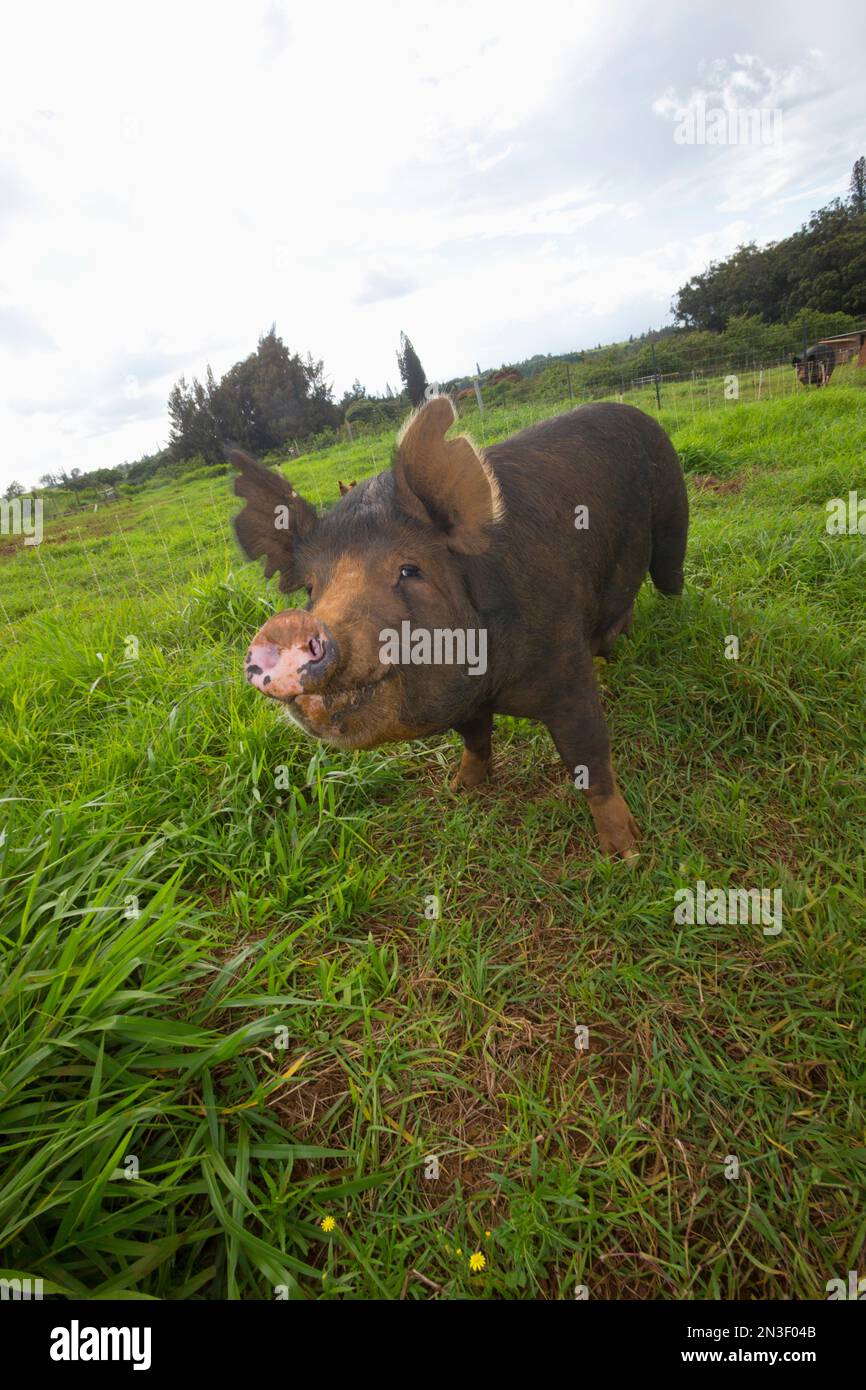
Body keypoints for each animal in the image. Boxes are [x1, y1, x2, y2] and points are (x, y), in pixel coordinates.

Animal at [232, 396, 688, 857]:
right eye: (311, 588)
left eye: (410, 570)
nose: (290, 627)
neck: (494, 687)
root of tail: (633, 410)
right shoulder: (466, 703)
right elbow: (474, 740)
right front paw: (459, 789)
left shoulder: (568, 673)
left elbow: (588, 757)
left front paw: (626, 852)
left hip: (674, 520)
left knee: (671, 580)